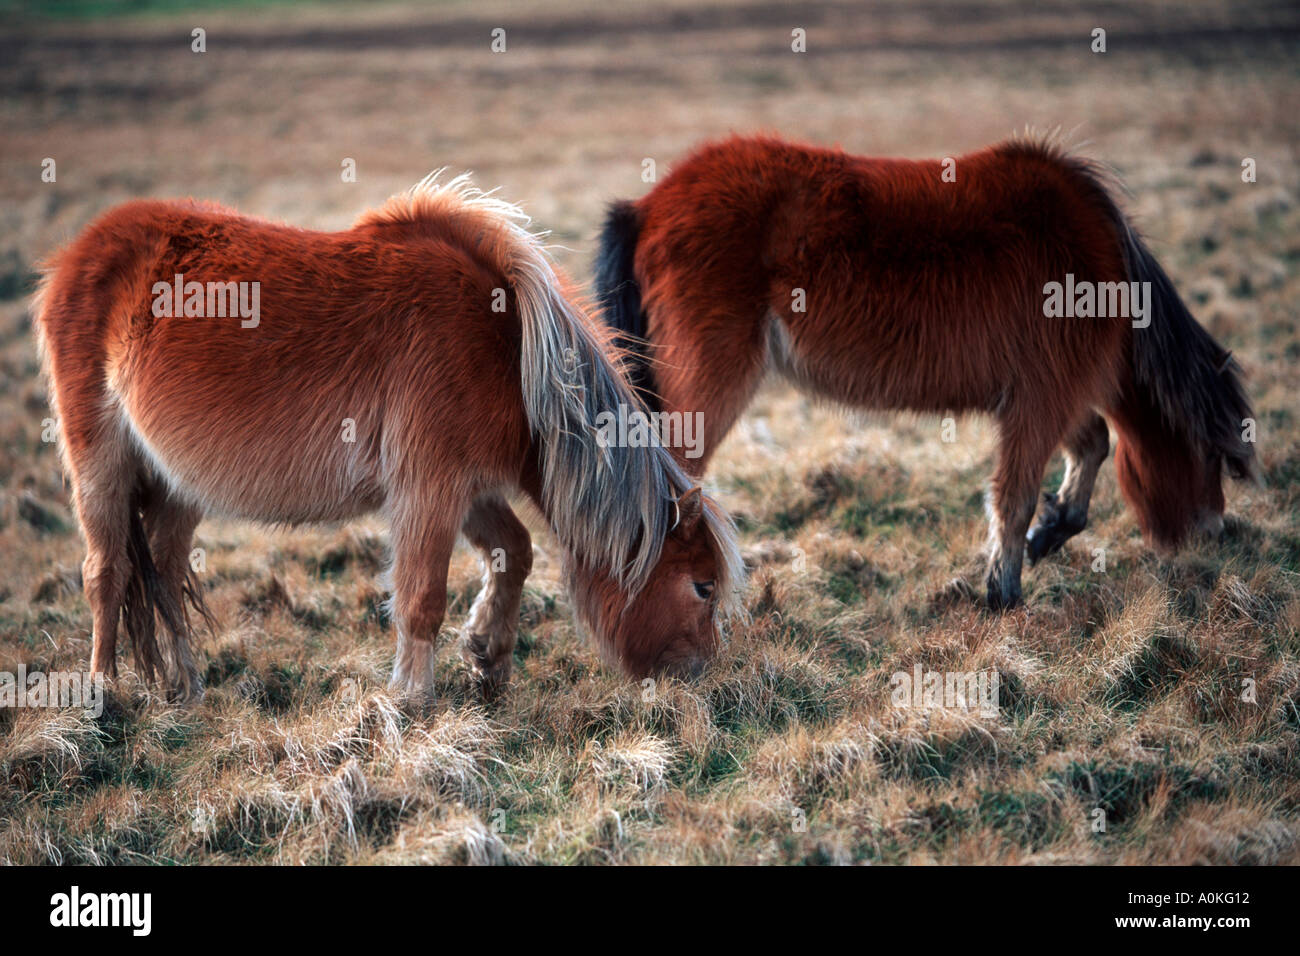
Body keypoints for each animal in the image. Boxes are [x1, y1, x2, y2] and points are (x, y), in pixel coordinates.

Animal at [33, 173, 743, 704]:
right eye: (703, 587)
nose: (706, 680)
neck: (509, 347)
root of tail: (78, 254)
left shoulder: (464, 486)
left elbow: (514, 551)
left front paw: (487, 654)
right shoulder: (428, 489)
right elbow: (422, 596)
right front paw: (413, 697)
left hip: (176, 483)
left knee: (165, 569)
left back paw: (186, 685)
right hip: (101, 462)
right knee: (107, 572)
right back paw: (103, 695)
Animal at [595, 134, 1255, 610]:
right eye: (1213, 454)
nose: (1214, 535)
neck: (1095, 267)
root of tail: (648, 206)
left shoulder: (1044, 396)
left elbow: (1089, 448)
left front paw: (1047, 536)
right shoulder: (1041, 401)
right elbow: (1014, 496)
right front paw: (1003, 596)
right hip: (710, 389)